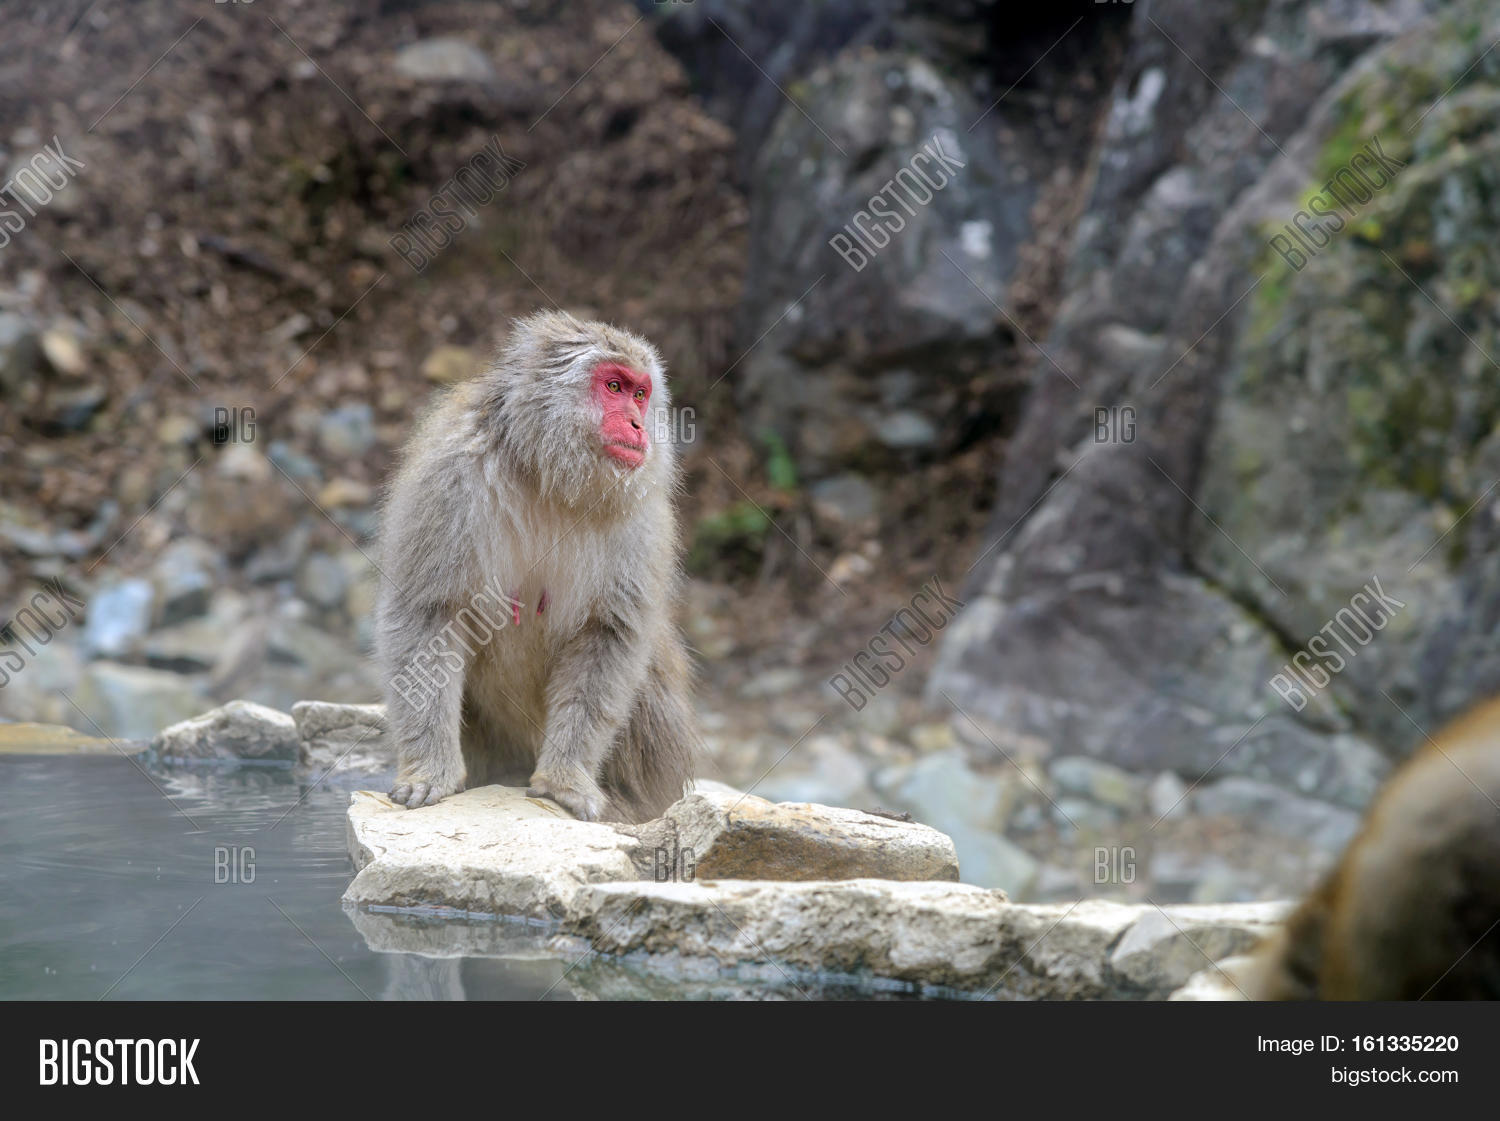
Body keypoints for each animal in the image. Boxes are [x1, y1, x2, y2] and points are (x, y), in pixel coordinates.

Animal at [373, 310, 698, 823]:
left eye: (641, 394)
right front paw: (430, 771)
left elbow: (610, 633)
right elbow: (426, 614)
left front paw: (565, 779)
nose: (637, 425)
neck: (549, 477)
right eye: (613, 386)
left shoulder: (641, 517)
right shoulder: (447, 479)